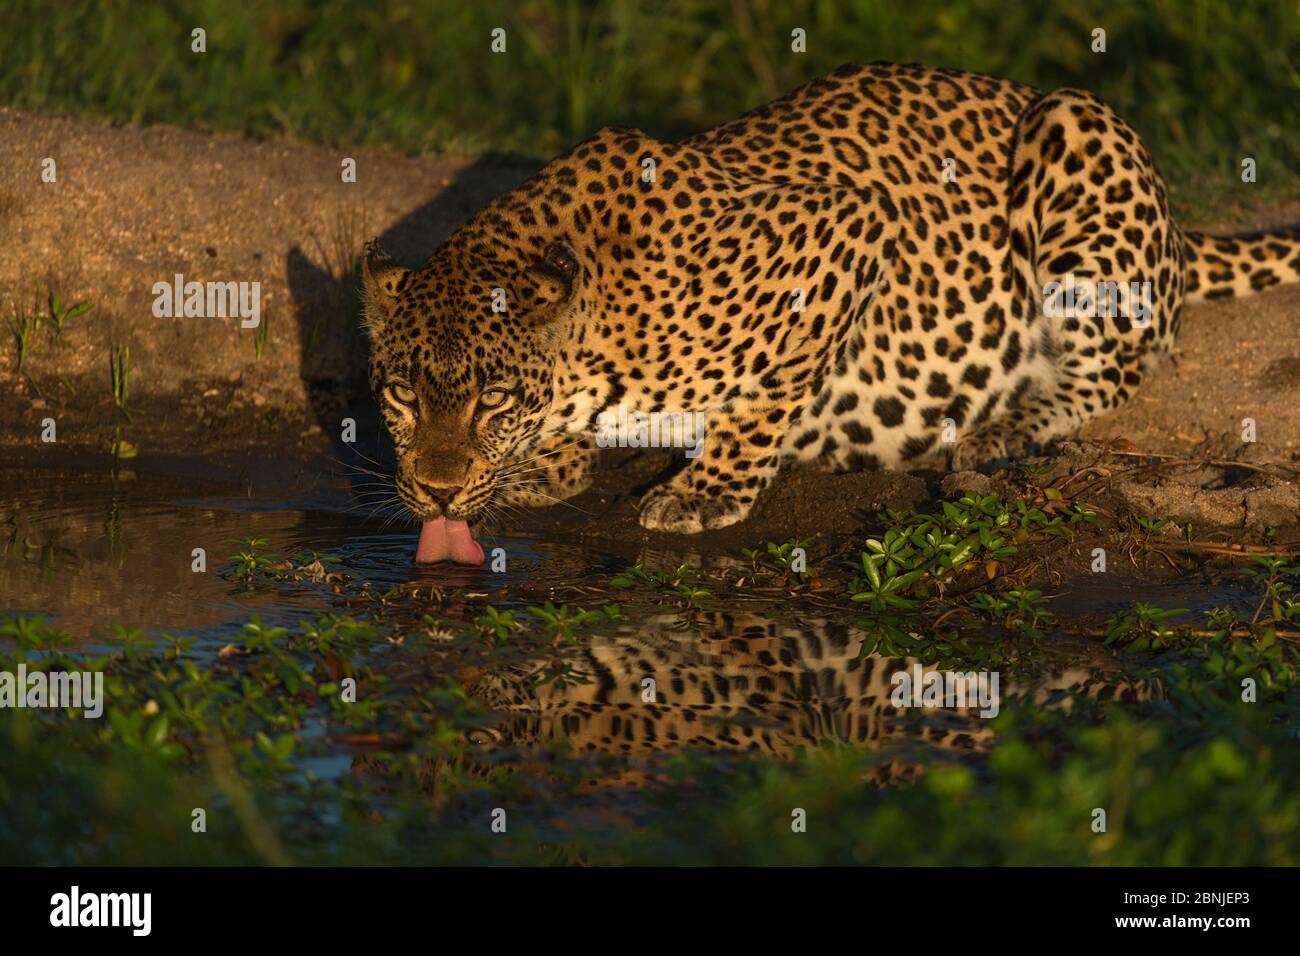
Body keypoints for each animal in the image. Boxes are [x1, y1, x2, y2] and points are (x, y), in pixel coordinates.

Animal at [362, 61, 1300, 544]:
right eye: (402, 394)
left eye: (491, 399)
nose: (437, 495)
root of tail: (1180, 230)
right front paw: (536, 470)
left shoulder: (847, 228)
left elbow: (766, 398)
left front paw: (707, 491)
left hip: (1073, 132)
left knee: (1114, 368)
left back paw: (999, 429)